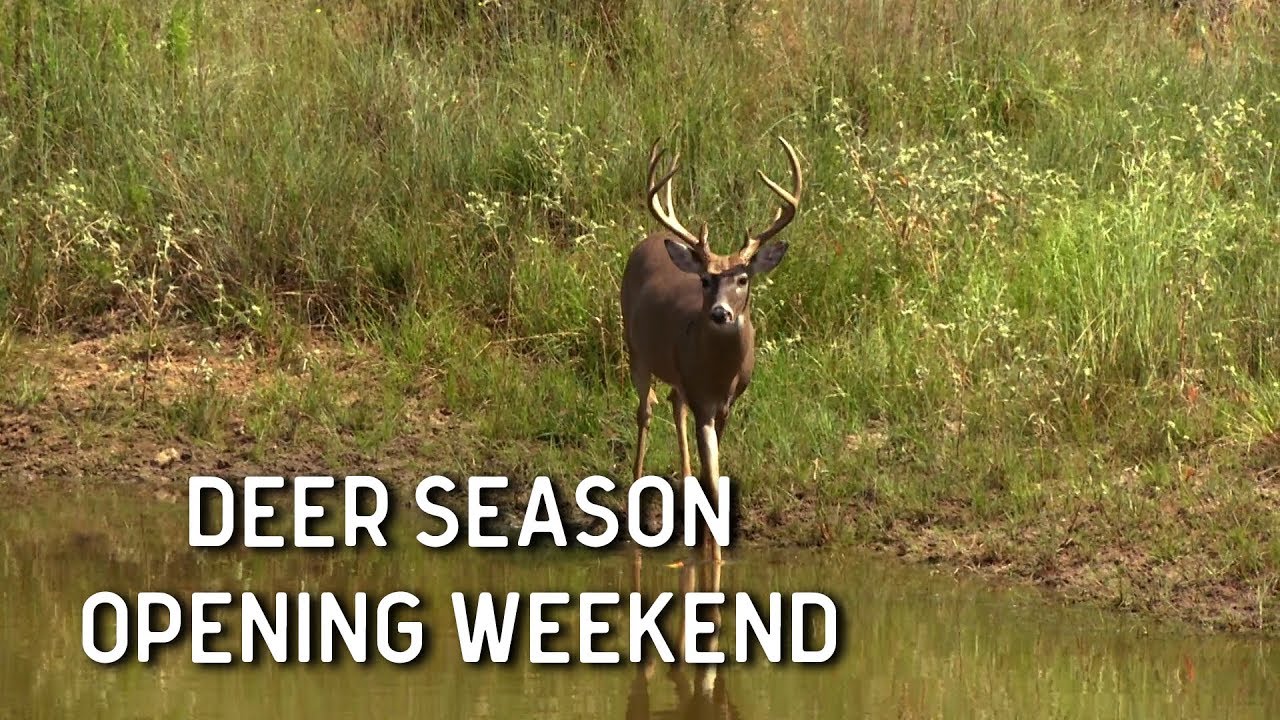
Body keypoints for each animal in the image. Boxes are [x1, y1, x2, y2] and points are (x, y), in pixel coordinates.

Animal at [619, 135, 803, 573]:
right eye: (705, 280)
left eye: (743, 278)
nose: (721, 313)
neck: (720, 373)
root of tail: (648, 241)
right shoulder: (703, 398)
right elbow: (713, 478)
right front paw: (712, 556)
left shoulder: (726, 403)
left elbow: (713, 476)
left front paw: (706, 543)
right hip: (636, 348)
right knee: (645, 410)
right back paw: (636, 490)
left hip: (674, 375)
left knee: (673, 403)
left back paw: (684, 489)